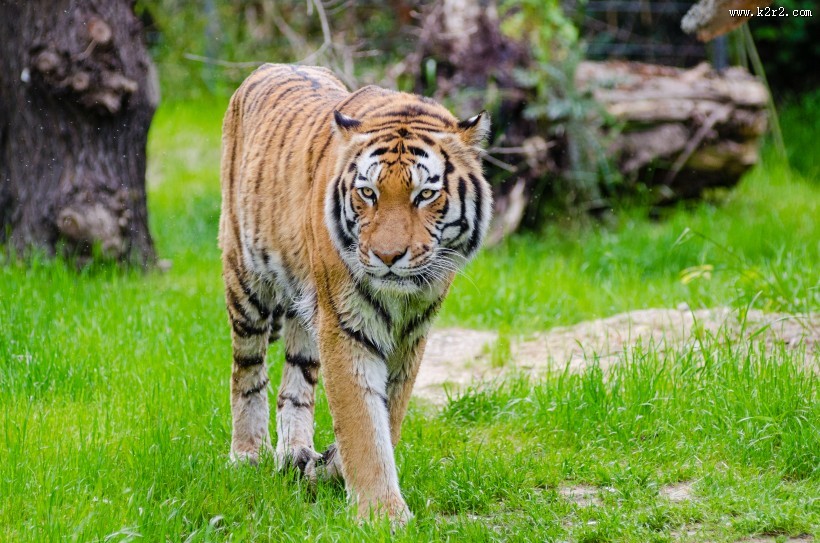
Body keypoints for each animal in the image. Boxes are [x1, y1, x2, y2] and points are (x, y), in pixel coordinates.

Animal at [218, 63, 491, 523]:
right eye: (368, 193)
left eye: (425, 194)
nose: (387, 256)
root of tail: (268, 67)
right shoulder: (346, 326)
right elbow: (362, 422)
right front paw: (383, 516)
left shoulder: (411, 335)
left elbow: (388, 416)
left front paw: (328, 469)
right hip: (247, 280)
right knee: (247, 370)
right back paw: (248, 455)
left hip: (305, 311)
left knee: (296, 383)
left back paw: (294, 453)